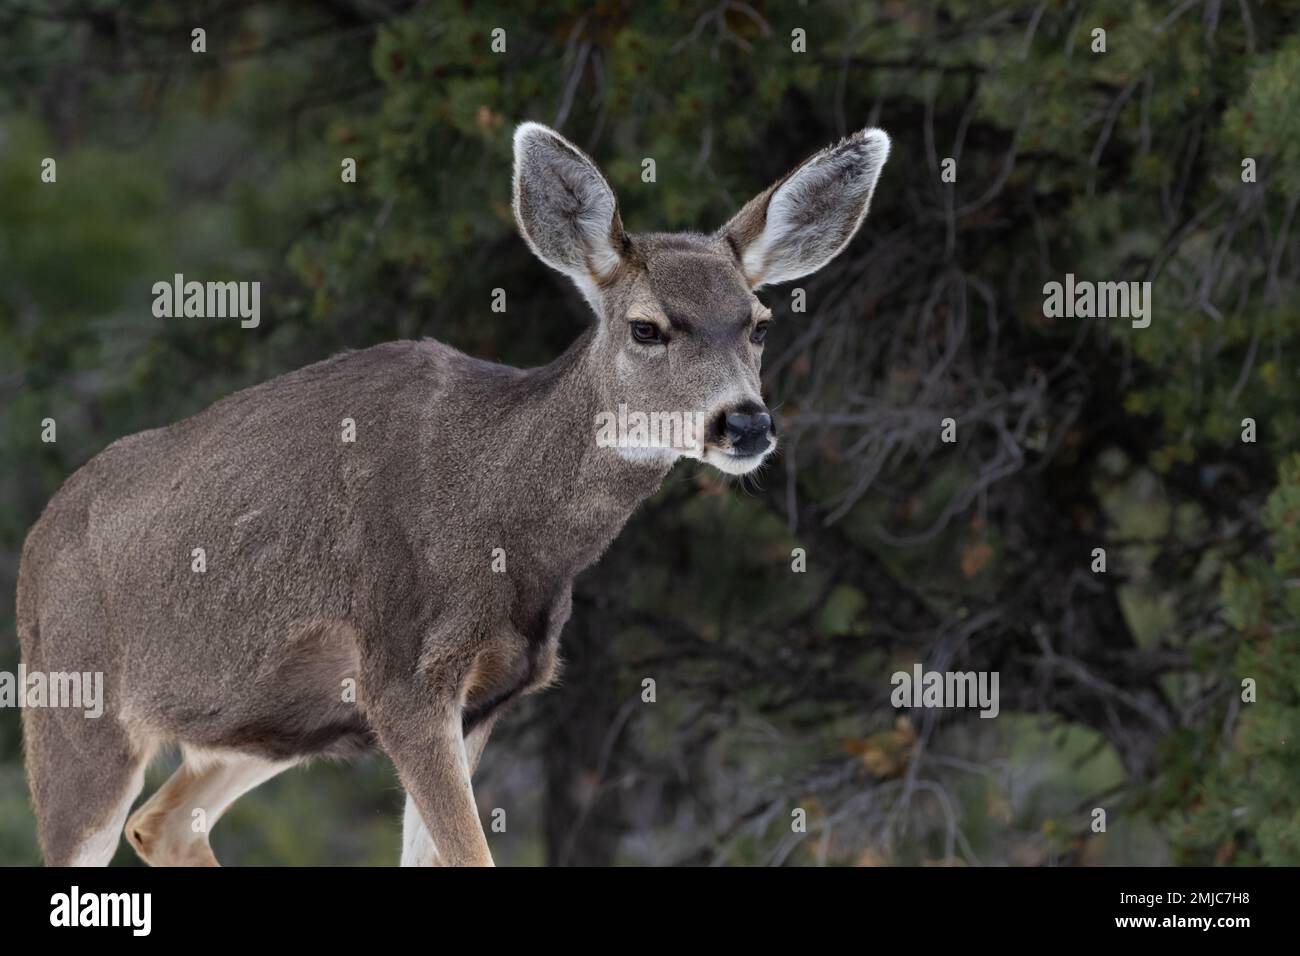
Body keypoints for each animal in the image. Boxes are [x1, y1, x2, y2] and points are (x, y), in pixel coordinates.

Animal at [16, 120, 889, 867]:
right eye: (647, 327)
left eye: (760, 322)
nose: (745, 422)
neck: (505, 520)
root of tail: (35, 541)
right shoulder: (404, 673)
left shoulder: (486, 696)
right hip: (75, 707)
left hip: (270, 727)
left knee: (162, 822)